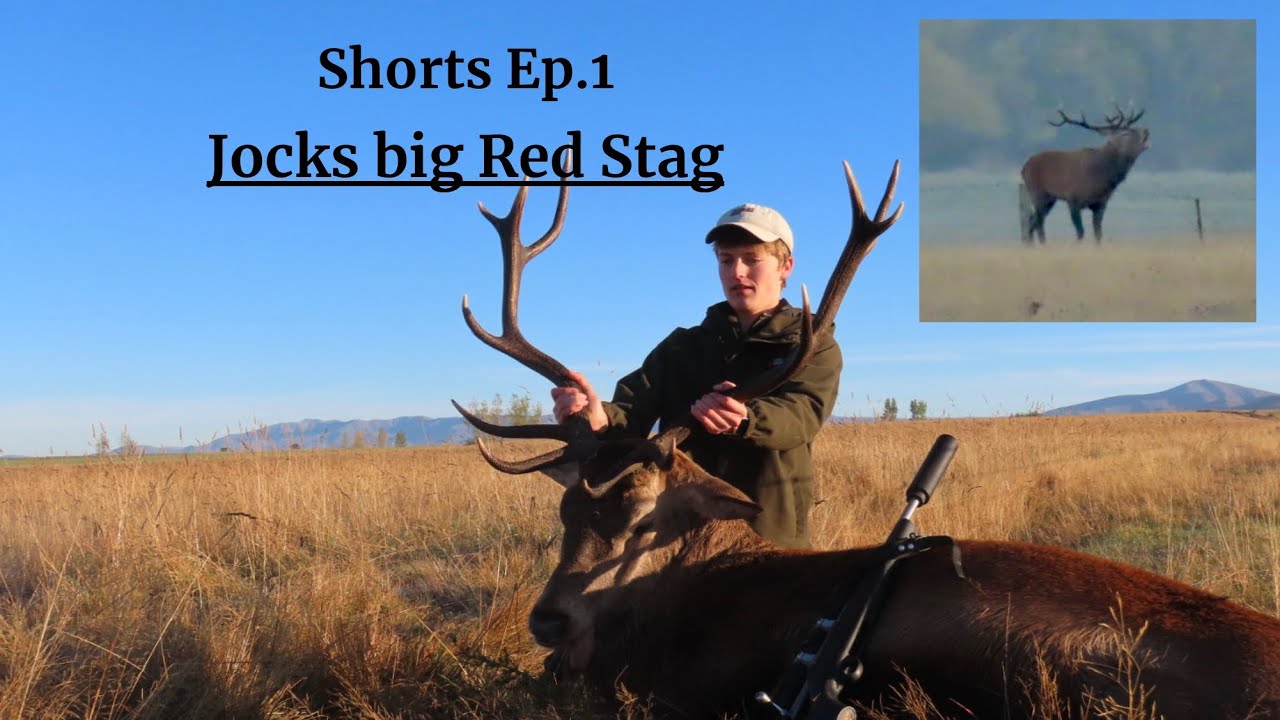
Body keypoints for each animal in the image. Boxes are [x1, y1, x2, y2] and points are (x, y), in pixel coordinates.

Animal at [1021, 106, 1150, 245]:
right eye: (1125, 133)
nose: (1146, 131)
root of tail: (1023, 168)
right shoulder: (1073, 199)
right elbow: (1080, 232)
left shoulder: (1101, 203)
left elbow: (1098, 234)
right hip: (1038, 192)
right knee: (1037, 222)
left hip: (1050, 199)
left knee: (1033, 221)